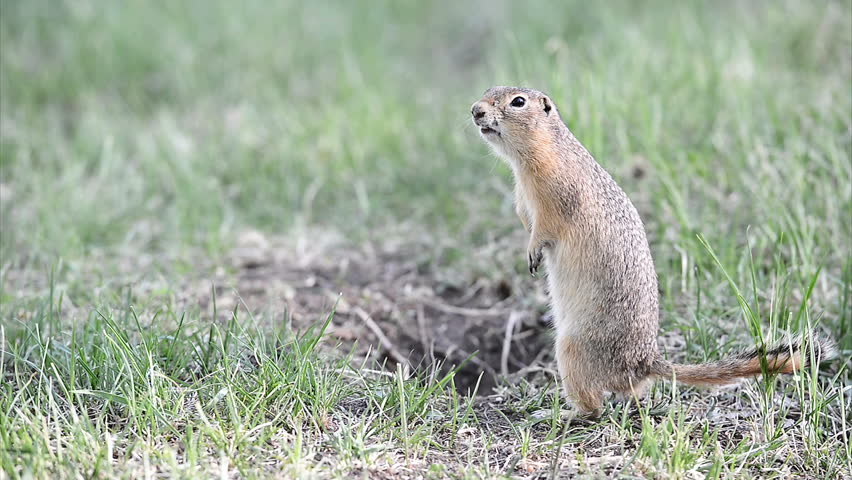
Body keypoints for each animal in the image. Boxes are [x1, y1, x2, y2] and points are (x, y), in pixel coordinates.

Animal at [471, 86, 836, 418]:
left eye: (518, 102)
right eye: (488, 91)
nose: (475, 110)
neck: (528, 159)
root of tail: (645, 362)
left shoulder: (556, 194)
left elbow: (545, 227)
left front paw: (533, 252)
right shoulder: (522, 197)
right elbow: (524, 217)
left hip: (571, 350)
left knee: (595, 406)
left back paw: (561, 414)